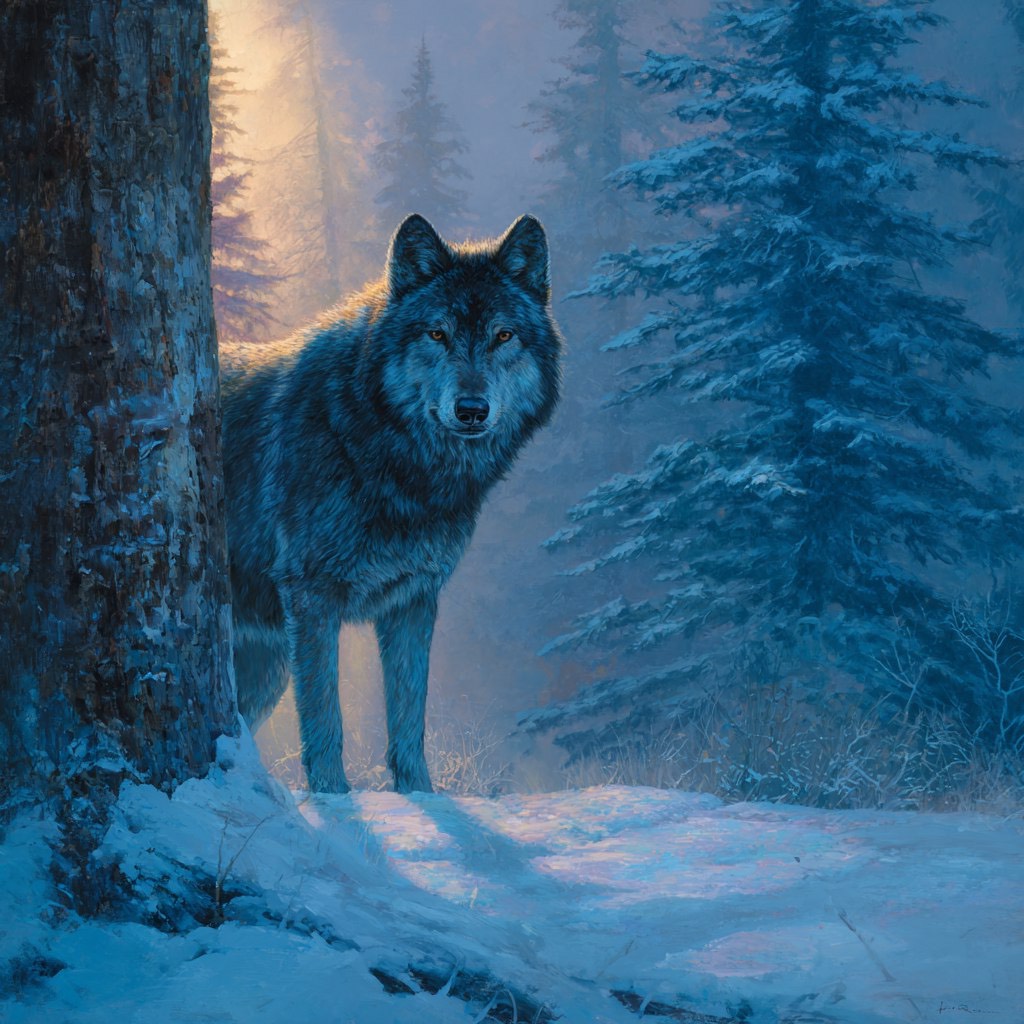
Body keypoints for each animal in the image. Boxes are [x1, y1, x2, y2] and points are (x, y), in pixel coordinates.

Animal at [220, 214, 563, 794]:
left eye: (503, 335)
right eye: (437, 333)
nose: (472, 410)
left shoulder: (414, 599)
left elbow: (408, 722)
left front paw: (422, 799)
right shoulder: (312, 599)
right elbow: (325, 724)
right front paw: (334, 802)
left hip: (266, 666)